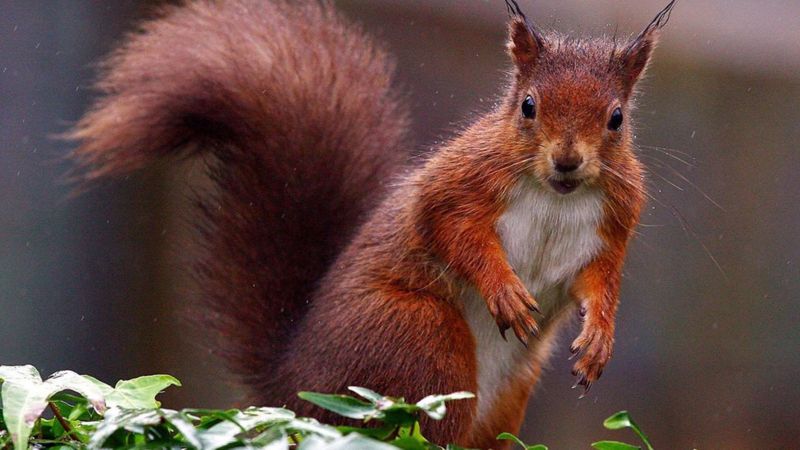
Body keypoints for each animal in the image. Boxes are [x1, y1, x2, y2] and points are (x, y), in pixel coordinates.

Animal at [69, 0, 675, 447]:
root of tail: (290, 390)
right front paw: (504, 290)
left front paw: (598, 338)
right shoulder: (457, 185)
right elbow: (454, 231)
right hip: (419, 342)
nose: (567, 161)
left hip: (504, 398)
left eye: (616, 118)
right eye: (527, 106)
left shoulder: (614, 226)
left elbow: (601, 282)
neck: (556, 197)